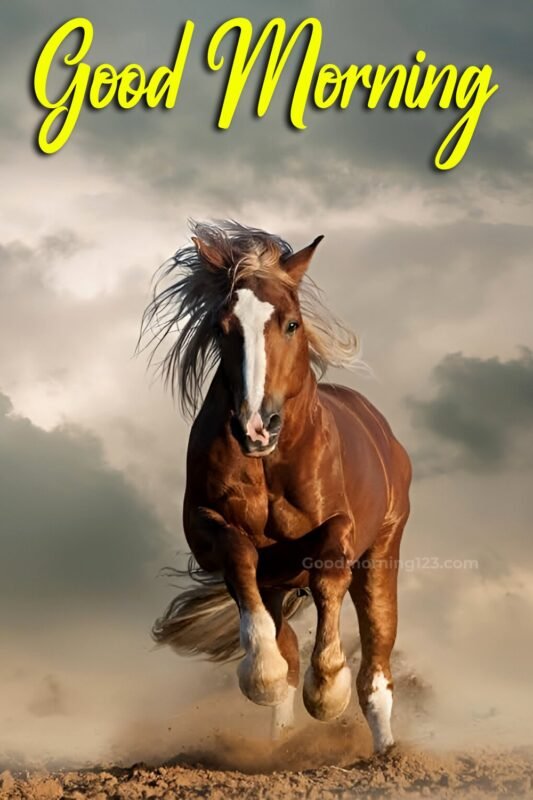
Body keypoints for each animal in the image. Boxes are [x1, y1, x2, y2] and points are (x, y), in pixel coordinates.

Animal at [142, 221, 411, 752]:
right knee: (284, 641)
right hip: (278, 584)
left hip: (382, 554)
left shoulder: (340, 529)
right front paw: (261, 675)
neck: (270, 464)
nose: (255, 427)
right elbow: (239, 559)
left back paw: (385, 752)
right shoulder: (210, 529)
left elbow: (329, 574)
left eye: (291, 324)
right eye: (221, 328)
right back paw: (281, 740)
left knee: (376, 663)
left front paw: (327, 691)